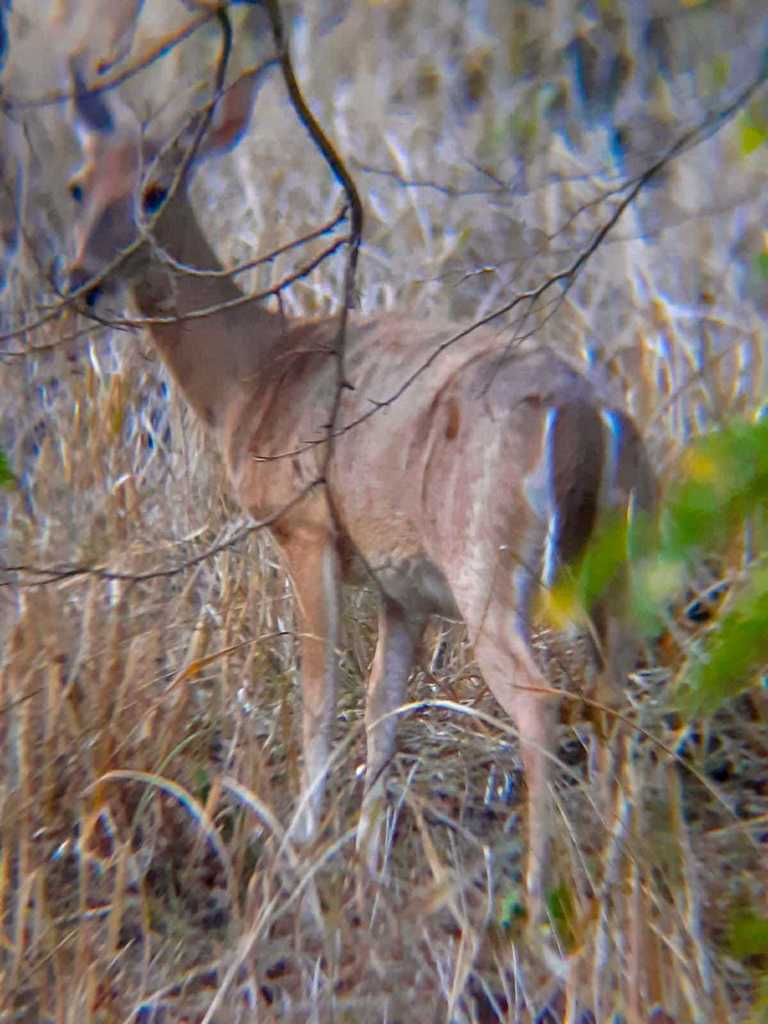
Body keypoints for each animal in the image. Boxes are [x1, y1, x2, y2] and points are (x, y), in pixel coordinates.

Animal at [66, 68, 657, 922]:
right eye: (79, 185)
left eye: (154, 190)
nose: (81, 281)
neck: (252, 378)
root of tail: (584, 419)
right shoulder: (401, 582)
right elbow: (384, 706)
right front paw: (367, 861)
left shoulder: (308, 527)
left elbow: (319, 699)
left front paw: (301, 851)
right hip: (625, 561)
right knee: (618, 696)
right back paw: (614, 873)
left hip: (486, 557)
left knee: (541, 700)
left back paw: (537, 897)